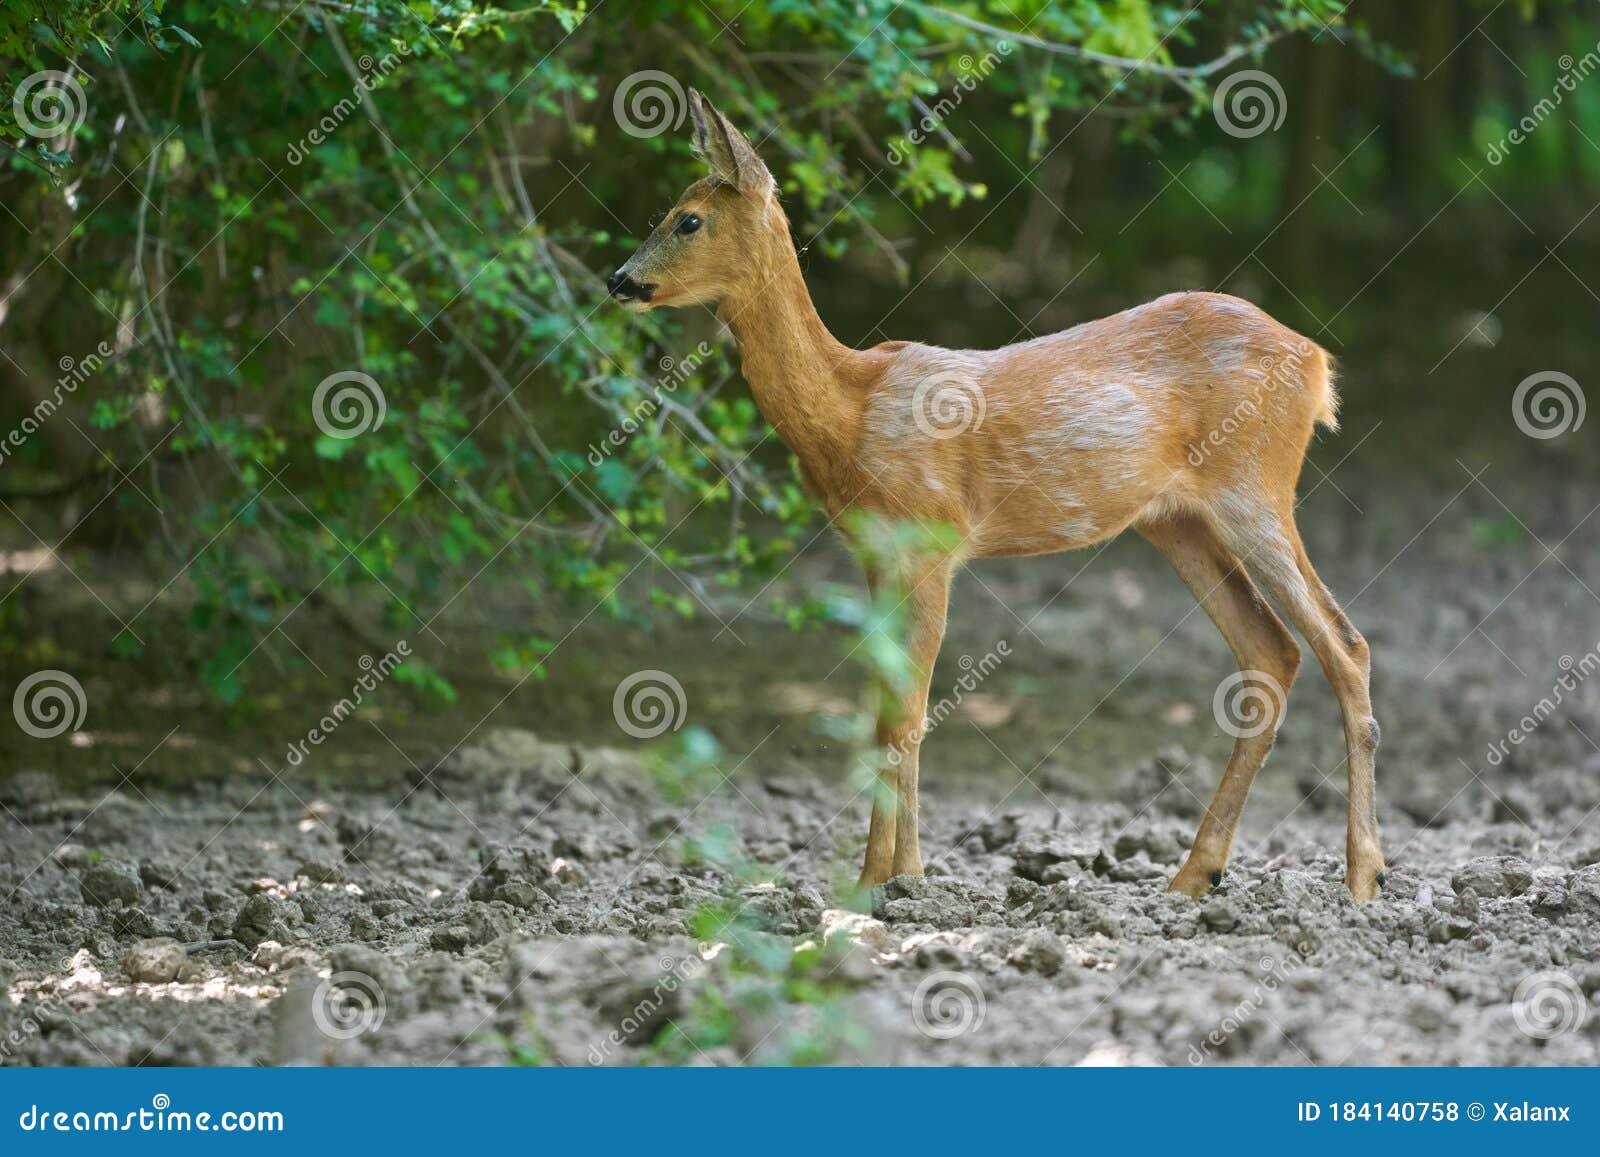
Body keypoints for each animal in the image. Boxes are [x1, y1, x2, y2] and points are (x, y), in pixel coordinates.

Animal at [607, 90, 1386, 902]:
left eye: (688, 218)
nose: (618, 280)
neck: (850, 410)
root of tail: (1316, 360)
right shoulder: (875, 553)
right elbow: (880, 713)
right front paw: (867, 880)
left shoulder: (933, 539)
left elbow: (909, 716)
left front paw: (905, 878)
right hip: (1177, 522)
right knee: (1272, 651)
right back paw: (1193, 875)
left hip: (1253, 486)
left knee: (1343, 643)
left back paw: (1363, 877)